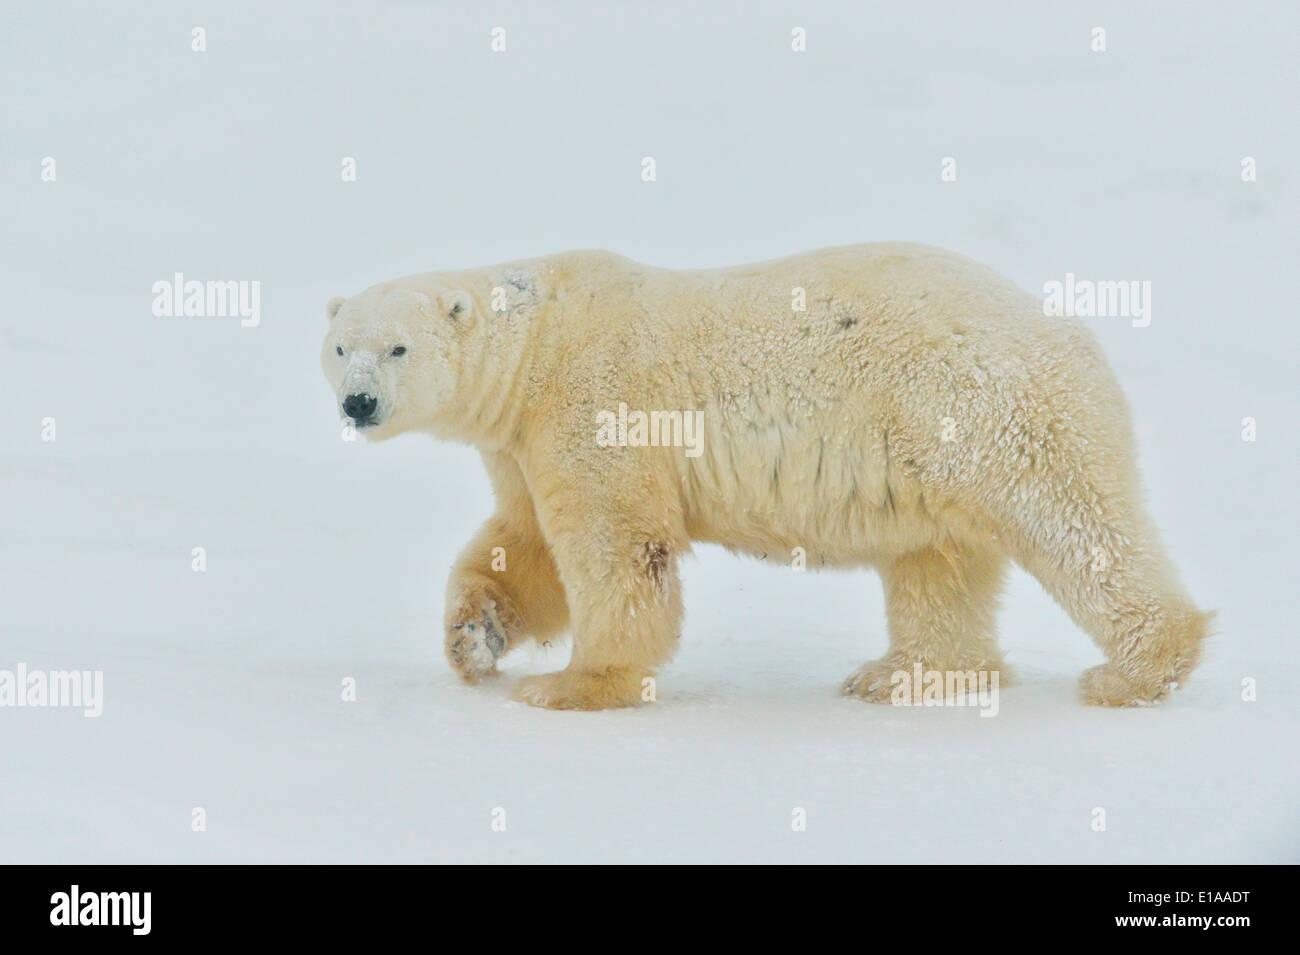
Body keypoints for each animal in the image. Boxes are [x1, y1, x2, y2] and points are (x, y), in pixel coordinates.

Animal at [321, 243, 1210, 711]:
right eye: (339, 346)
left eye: (397, 346)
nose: (359, 402)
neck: (539, 337)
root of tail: (1071, 332)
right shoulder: (521, 440)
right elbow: (526, 541)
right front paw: (471, 638)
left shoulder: (595, 403)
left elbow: (615, 545)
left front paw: (573, 683)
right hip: (936, 453)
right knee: (939, 564)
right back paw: (898, 674)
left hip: (984, 414)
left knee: (1076, 528)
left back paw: (1135, 668)